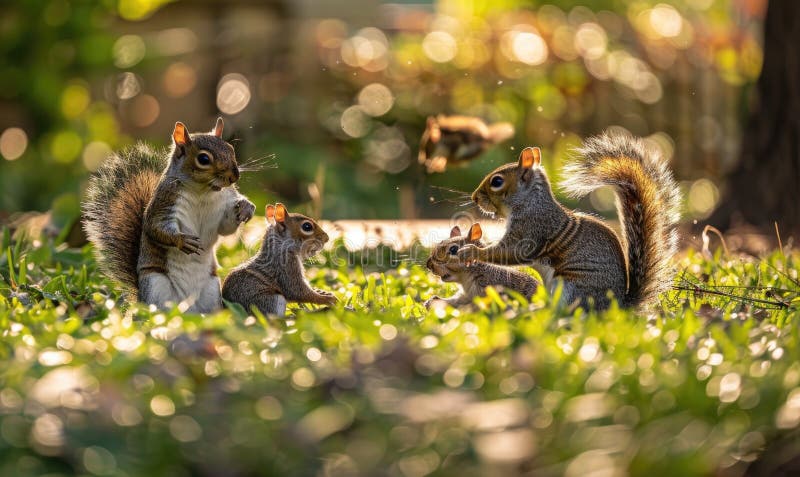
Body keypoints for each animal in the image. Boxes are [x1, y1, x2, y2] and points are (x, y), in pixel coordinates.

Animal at [83, 118, 255, 313]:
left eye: (230, 149)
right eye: (203, 159)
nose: (234, 176)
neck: (203, 191)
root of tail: (188, 309)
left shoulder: (223, 202)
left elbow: (225, 228)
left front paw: (245, 207)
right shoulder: (164, 203)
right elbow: (155, 227)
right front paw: (182, 240)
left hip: (211, 290)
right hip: (155, 284)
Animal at [458, 132, 681, 310]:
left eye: (497, 181)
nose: (474, 198)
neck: (530, 202)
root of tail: (617, 307)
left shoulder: (531, 230)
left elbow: (510, 252)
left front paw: (472, 251)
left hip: (571, 288)